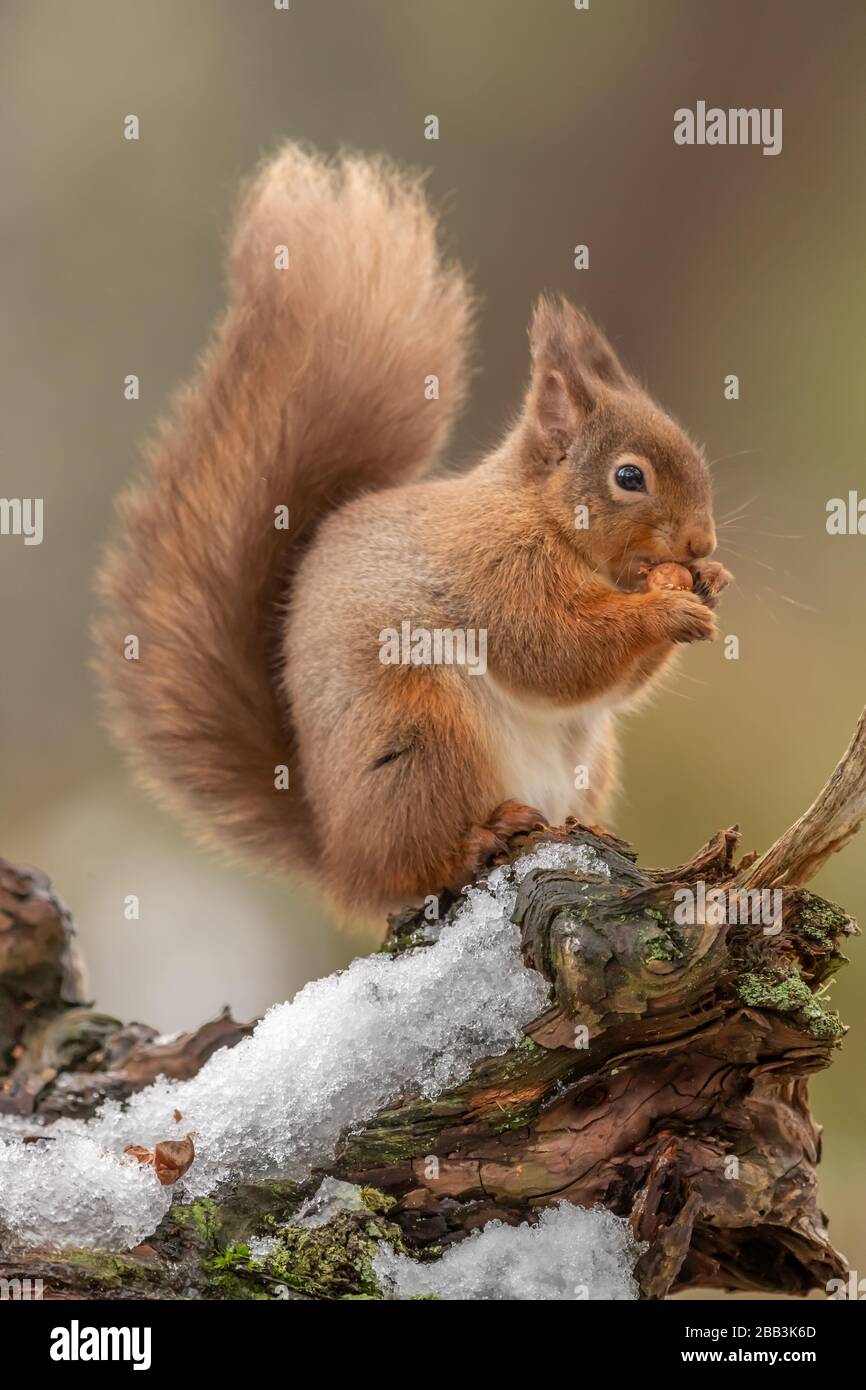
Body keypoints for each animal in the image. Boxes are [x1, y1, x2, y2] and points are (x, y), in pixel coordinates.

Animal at [95, 143, 732, 923]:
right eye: (629, 477)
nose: (700, 545)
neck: (543, 516)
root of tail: (338, 857)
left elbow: (603, 686)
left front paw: (712, 585)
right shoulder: (494, 567)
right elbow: (553, 651)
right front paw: (666, 608)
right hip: (418, 736)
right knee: (417, 865)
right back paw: (480, 839)